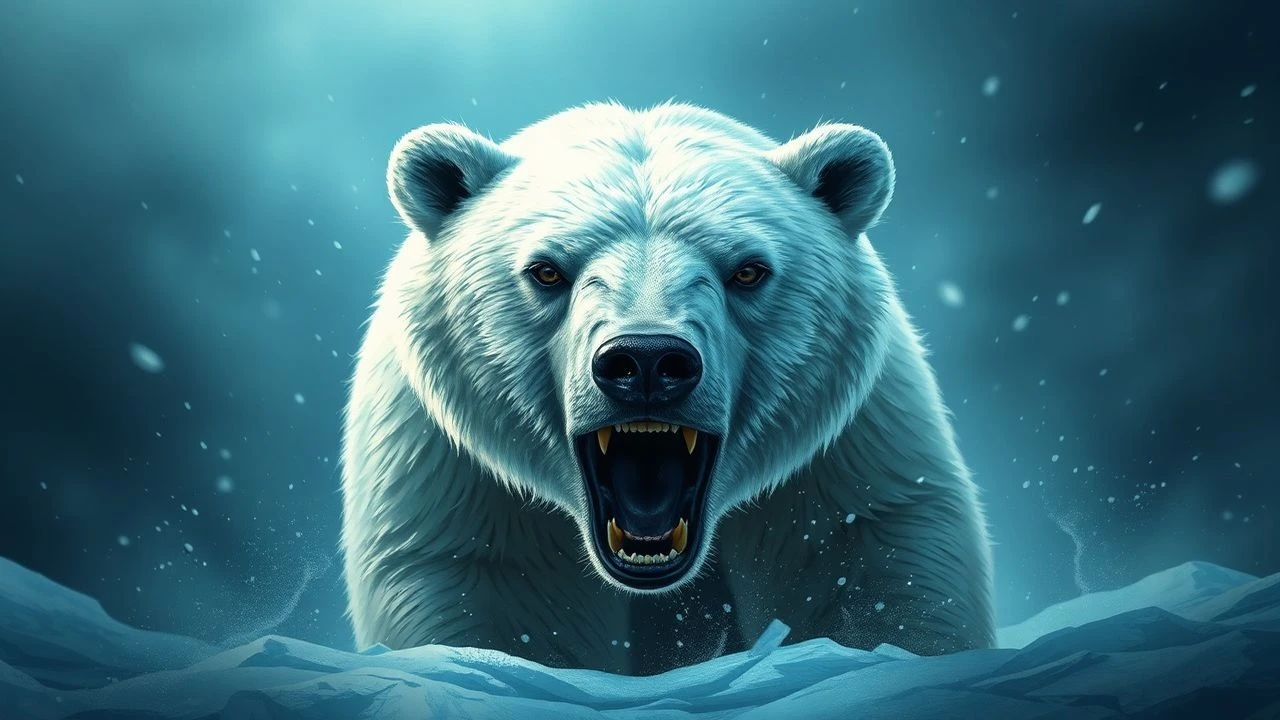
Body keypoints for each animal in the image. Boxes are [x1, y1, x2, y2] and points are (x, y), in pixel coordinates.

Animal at [340, 101, 995, 675]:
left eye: (749, 270)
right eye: (546, 270)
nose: (647, 360)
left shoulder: (844, 479)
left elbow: (879, 590)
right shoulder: (465, 502)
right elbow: (490, 615)